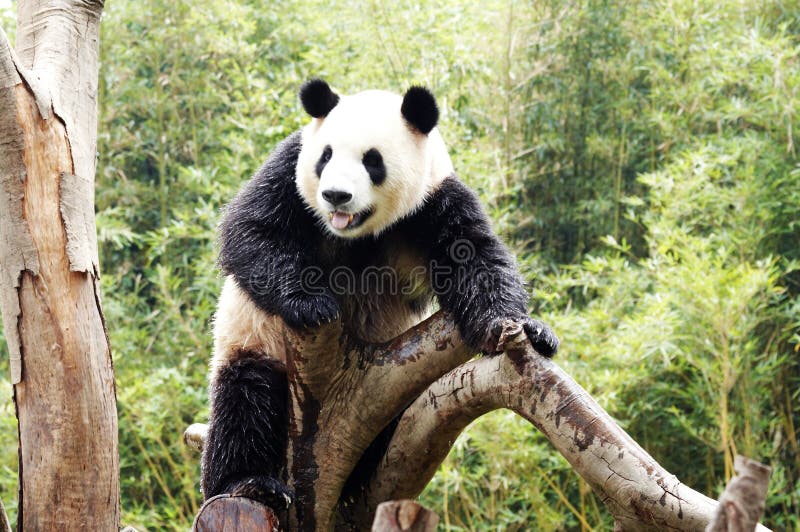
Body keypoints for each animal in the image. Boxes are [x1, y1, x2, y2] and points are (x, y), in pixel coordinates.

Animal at [201, 79, 559, 515]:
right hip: (255, 341)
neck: (355, 234)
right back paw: (250, 483)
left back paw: (358, 475)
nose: (336, 195)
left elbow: (476, 260)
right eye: (325, 156)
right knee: (247, 400)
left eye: (373, 161)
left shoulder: (433, 201)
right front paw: (311, 302)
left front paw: (522, 328)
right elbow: (251, 230)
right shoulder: (287, 172)